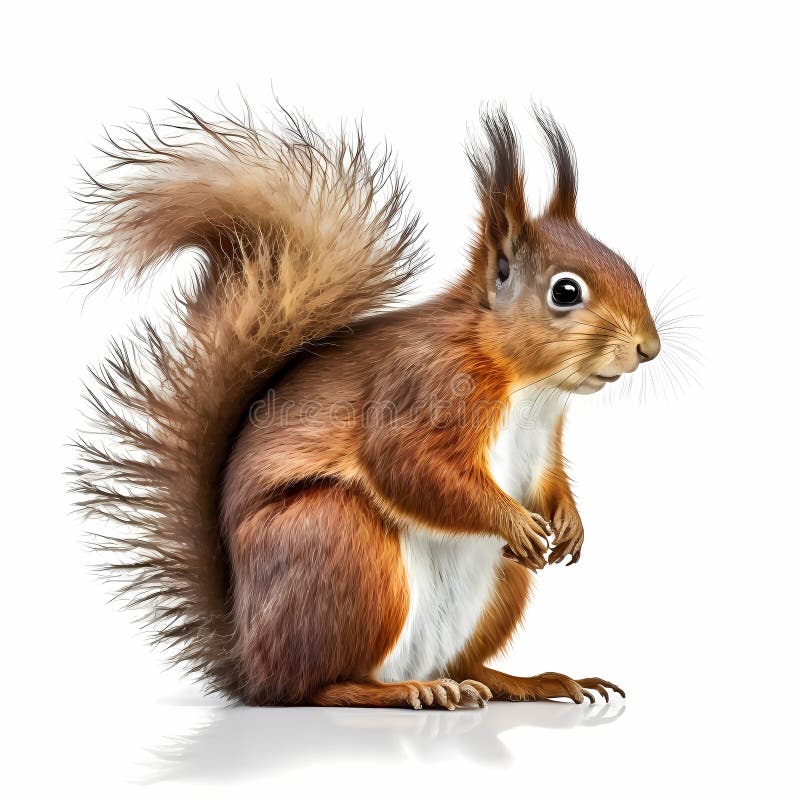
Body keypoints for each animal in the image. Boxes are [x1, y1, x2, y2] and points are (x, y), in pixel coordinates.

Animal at [71, 101, 661, 710]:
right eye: (566, 291)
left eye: (624, 264)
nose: (649, 348)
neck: (526, 384)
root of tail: (247, 660)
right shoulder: (420, 386)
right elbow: (407, 464)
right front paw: (514, 520)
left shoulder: (543, 438)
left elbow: (550, 480)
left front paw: (571, 523)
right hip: (340, 542)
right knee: (310, 687)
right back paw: (405, 691)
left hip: (500, 587)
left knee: (466, 664)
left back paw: (530, 681)